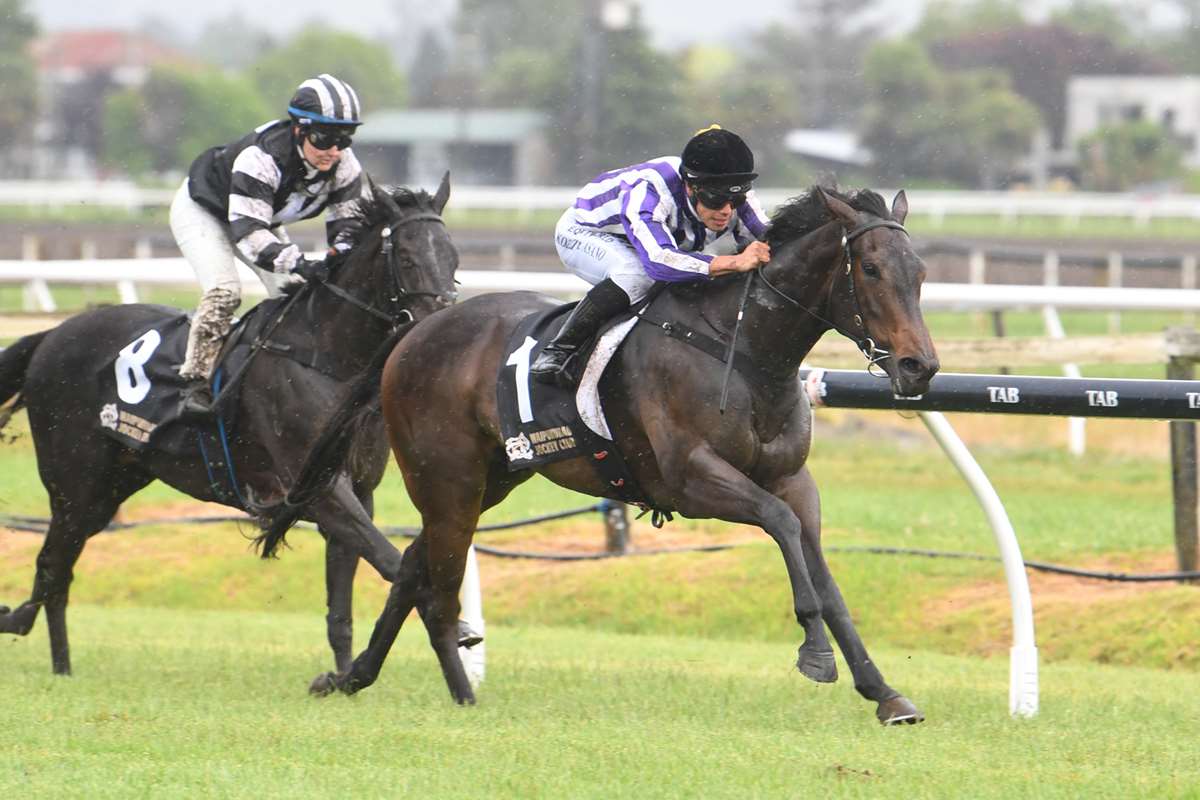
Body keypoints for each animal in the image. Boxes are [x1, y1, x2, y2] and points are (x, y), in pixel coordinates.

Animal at [0, 175, 458, 677]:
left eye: (453, 258)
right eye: (408, 259)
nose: (437, 326)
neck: (327, 357)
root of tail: (53, 334)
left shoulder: (359, 487)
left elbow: (345, 596)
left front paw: (340, 674)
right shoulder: (316, 491)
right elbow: (392, 563)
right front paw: (456, 631)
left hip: (113, 482)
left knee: (59, 568)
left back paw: (57, 660)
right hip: (74, 483)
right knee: (53, 565)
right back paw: (40, 645)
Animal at [264, 185, 939, 725]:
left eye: (920, 272)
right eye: (870, 268)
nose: (919, 366)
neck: (744, 348)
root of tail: (414, 331)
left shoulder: (794, 480)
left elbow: (818, 564)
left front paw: (884, 692)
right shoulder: (692, 478)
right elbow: (780, 527)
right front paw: (815, 653)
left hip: (491, 478)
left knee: (411, 564)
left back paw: (352, 677)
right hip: (447, 478)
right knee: (441, 585)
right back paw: (462, 695)